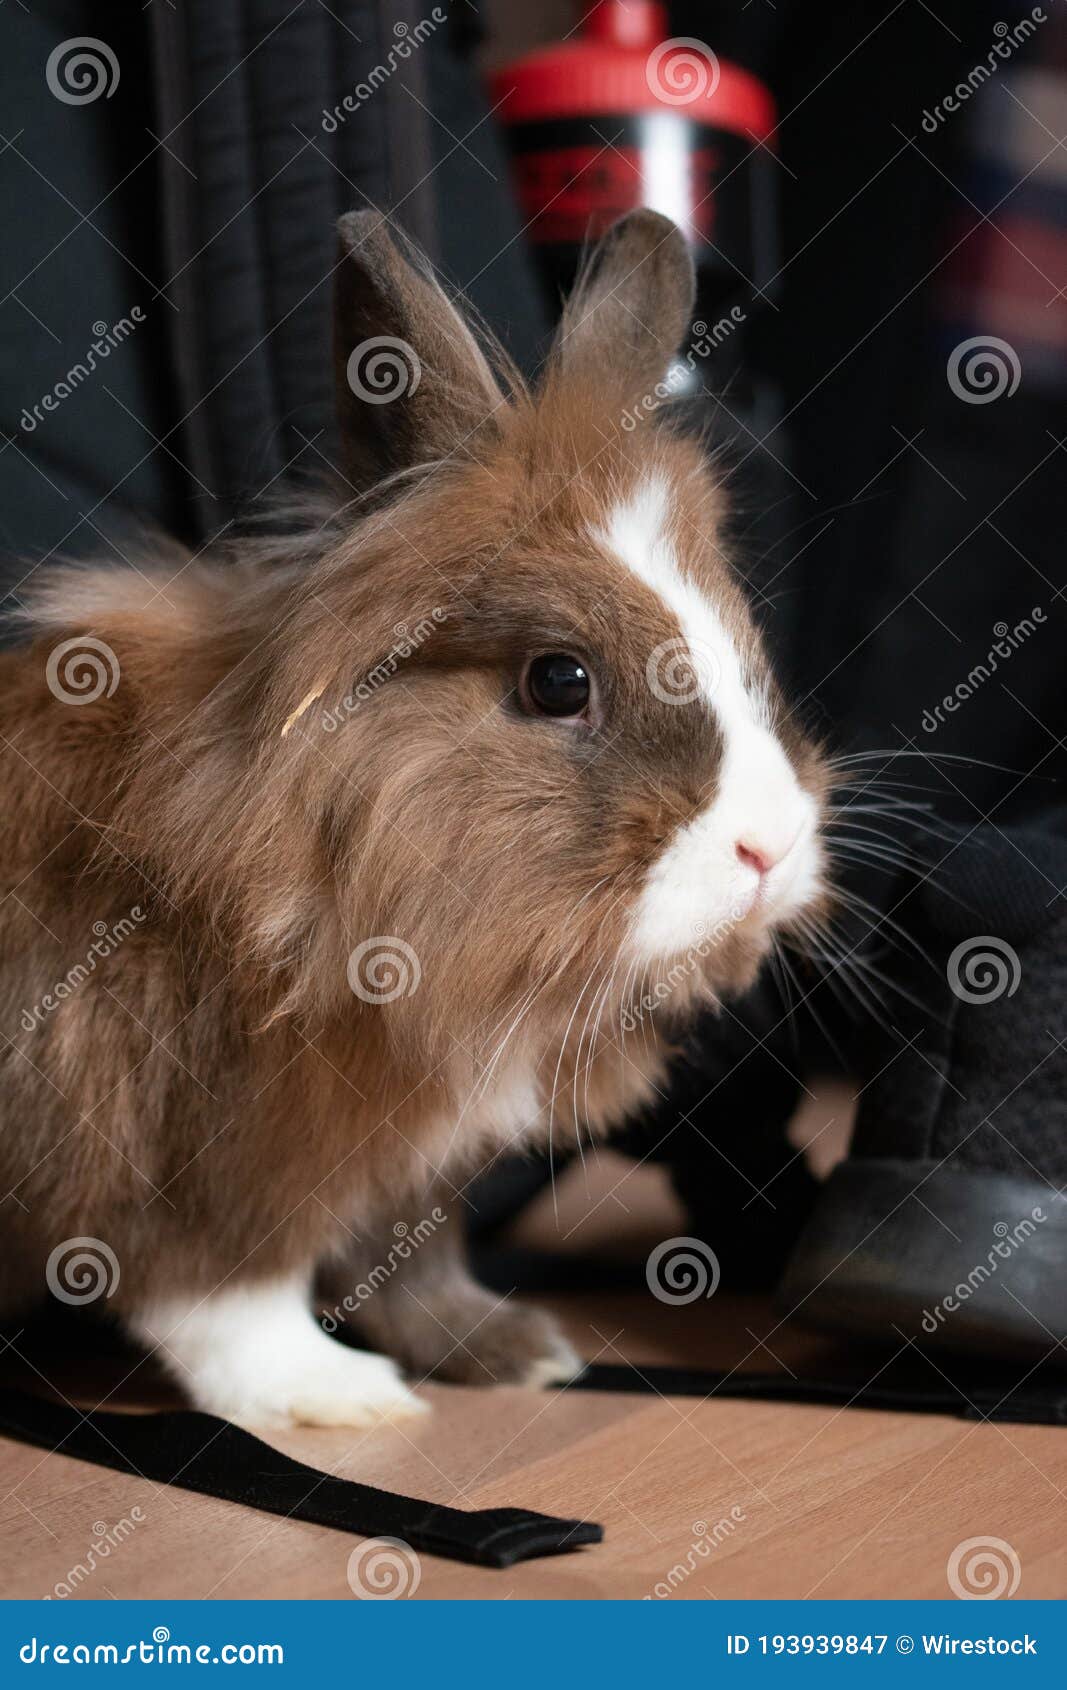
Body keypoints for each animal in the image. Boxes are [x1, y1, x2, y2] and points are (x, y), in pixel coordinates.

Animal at [0, 208, 828, 1429]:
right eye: (557, 681)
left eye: (744, 639)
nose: (768, 847)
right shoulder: (198, 1145)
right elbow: (224, 1296)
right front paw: (339, 1397)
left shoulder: (412, 1163)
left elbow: (409, 1260)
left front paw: (513, 1352)